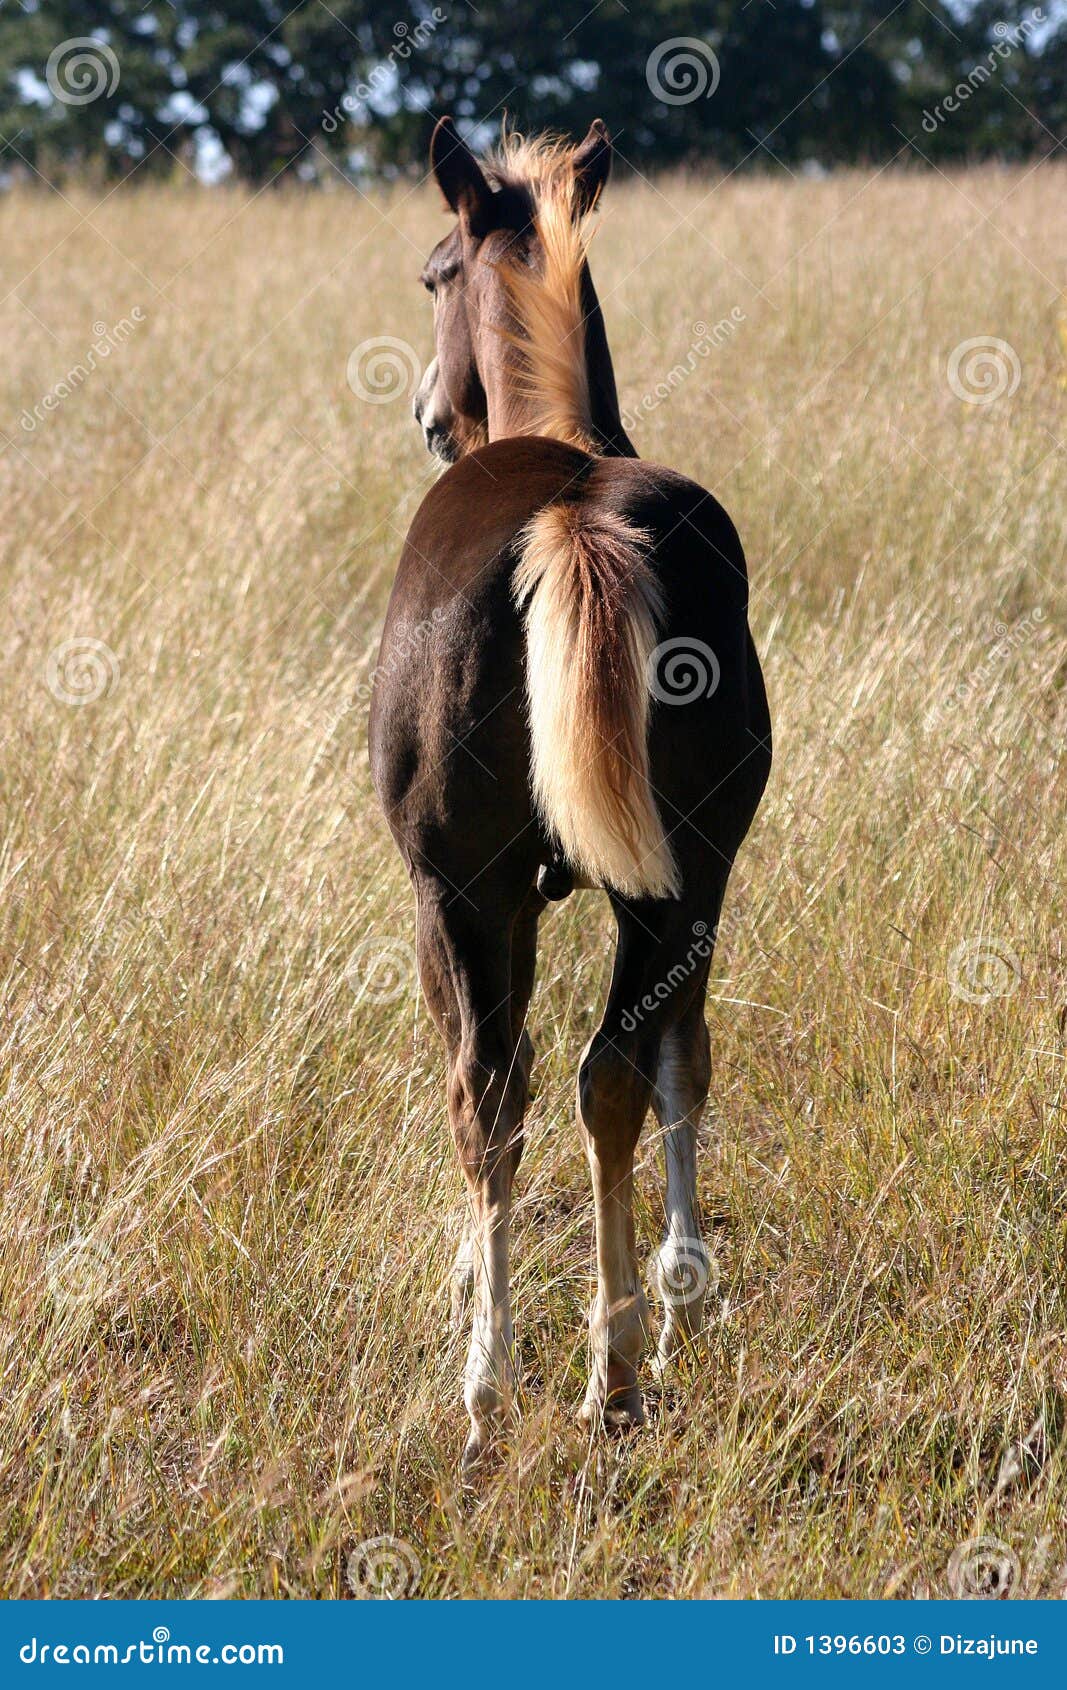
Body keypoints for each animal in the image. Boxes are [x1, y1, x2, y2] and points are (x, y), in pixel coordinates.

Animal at [368, 117, 771, 1469]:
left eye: (431, 273)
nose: (429, 418)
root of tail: (571, 510)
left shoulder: (462, 895)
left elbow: (495, 1074)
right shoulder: (637, 883)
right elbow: (657, 1061)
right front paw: (674, 1295)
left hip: (477, 889)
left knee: (505, 1087)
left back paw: (504, 1385)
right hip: (678, 875)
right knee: (613, 1069)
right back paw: (613, 1370)